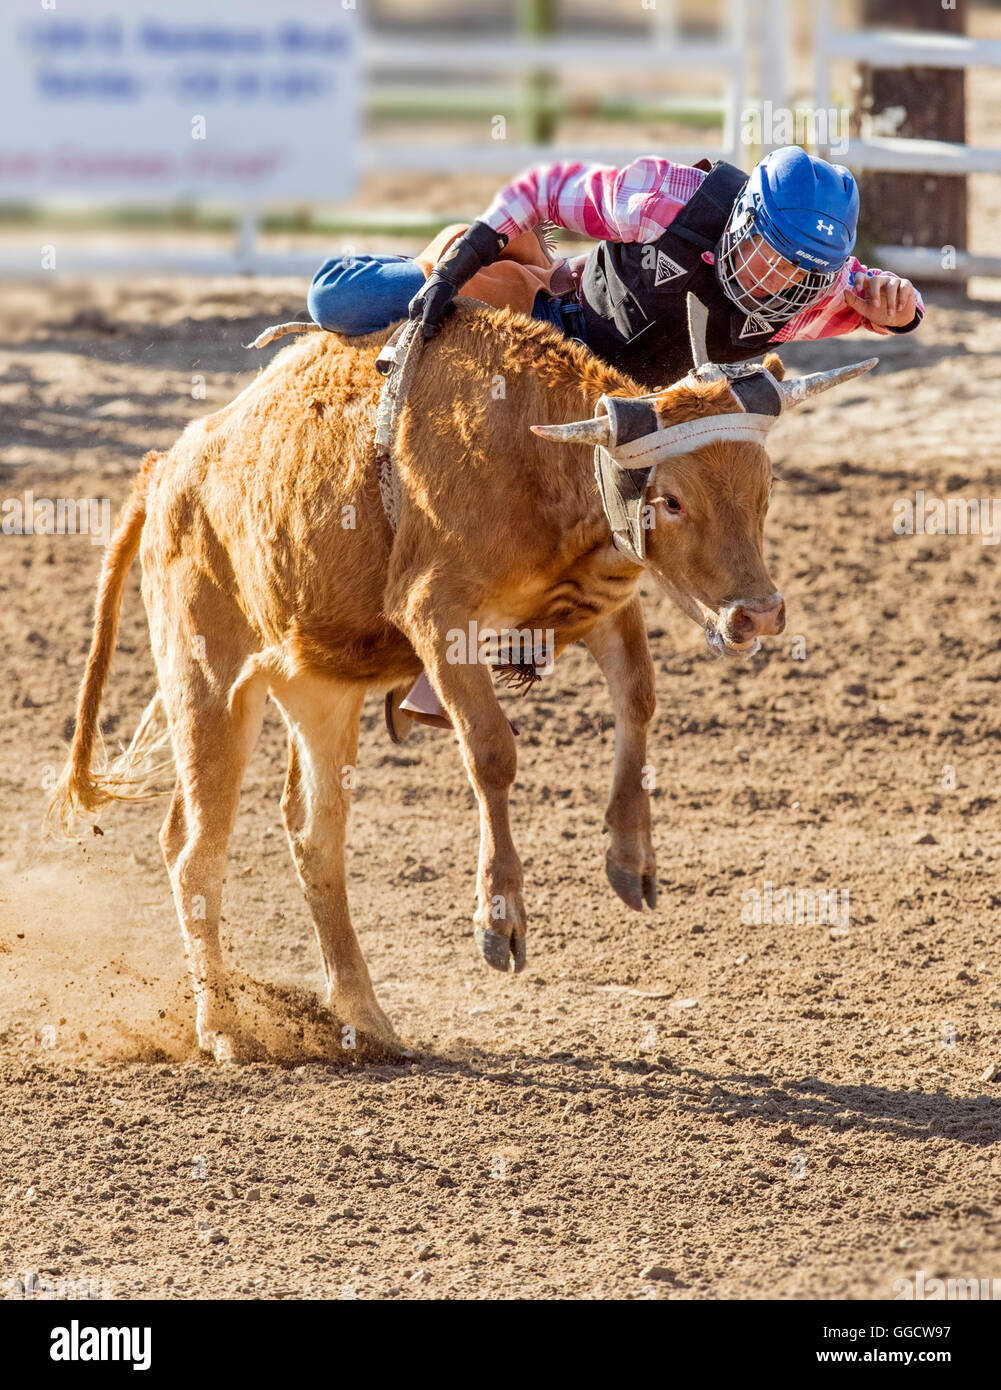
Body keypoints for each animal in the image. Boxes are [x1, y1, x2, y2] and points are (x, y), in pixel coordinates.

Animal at [49, 301, 875, 1062]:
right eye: (671, 499)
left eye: (764, 488)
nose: (758, 613)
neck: (524, 453)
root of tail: (164, 471)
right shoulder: (437, 617)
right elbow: (491, 752)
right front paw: (499, 918)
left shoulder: (599, 602)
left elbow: (638, 696)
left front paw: (629, 854)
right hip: (207, 678)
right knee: (196, 852)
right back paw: (222, 1026)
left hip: (318, 691)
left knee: (313, 840)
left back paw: (364, 1018)